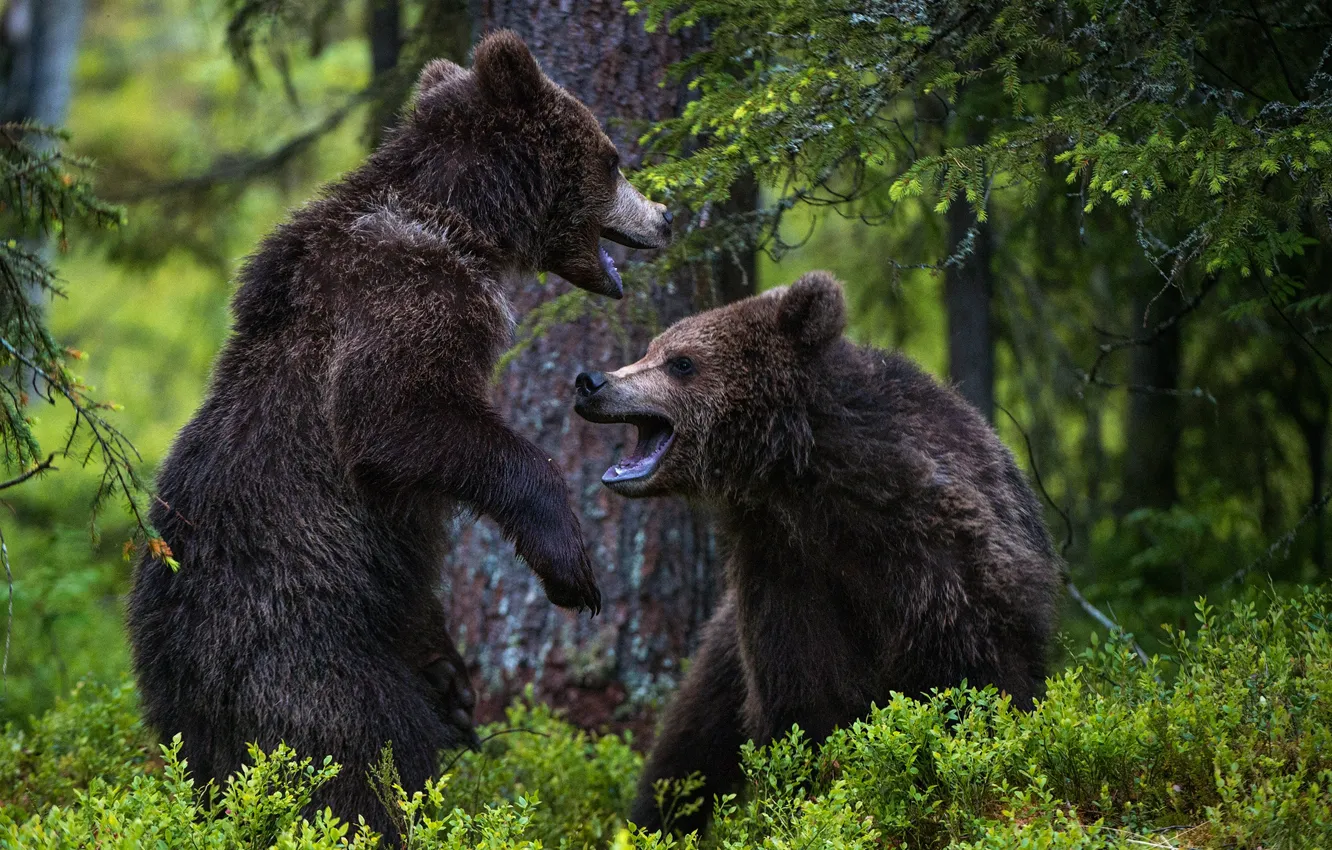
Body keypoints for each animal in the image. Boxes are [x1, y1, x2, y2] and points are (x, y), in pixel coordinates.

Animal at [126, 30, 672, 840]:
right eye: (613, 158)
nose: (665, 216)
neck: (463, 227)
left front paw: (458, 675)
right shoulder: (402, 297)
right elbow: (405, 422)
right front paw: (572, 566)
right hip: (304, 650)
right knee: (366, 750)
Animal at [572, 271, 1060, 835]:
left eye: (681, 362)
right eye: (651, 349)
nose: (590, 381)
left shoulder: (942, 558)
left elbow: (975, 680)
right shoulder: (783, 571)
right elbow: (804, 697)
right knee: (688, 744)